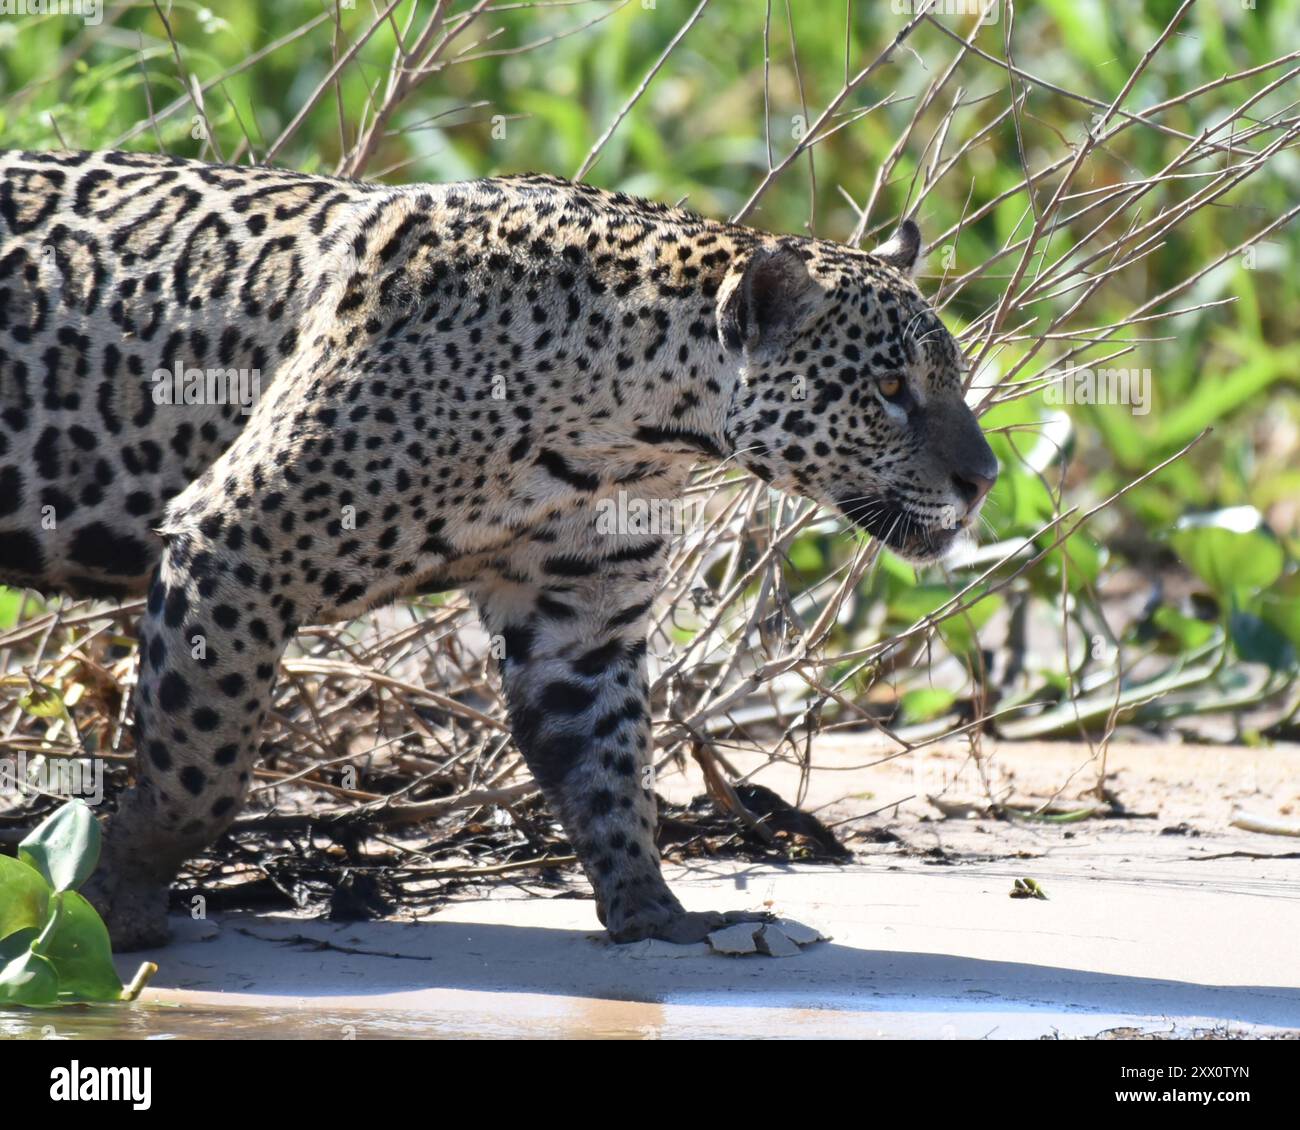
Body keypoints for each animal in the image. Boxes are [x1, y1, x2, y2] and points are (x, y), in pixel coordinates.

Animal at [0, 150, 997, 950]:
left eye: (949, 378)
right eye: (890, 388)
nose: (985, 478)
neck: (630, 424)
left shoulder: (582, 619)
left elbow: (611, 770)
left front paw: (652, 912)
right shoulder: (235, 538)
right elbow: (198, 772)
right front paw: (116, 903)